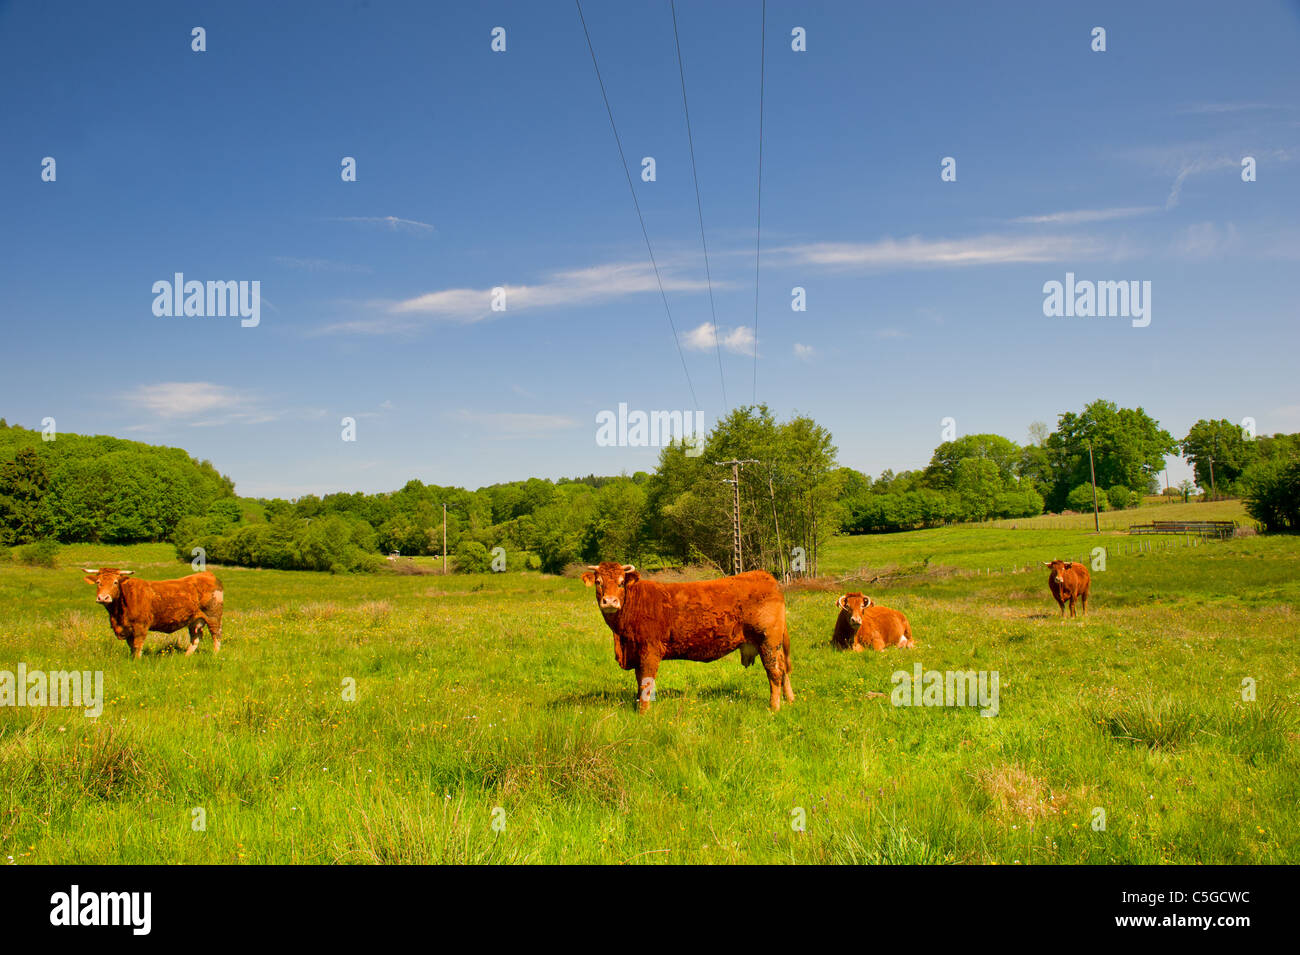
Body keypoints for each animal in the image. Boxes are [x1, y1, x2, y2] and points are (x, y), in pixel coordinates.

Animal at [83, 568, 224, 658]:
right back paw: (186, 656)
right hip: (195, 620)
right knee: (196, 637)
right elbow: (131, 646)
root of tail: (207, 574)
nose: (103, 598)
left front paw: (136, 661)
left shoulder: (140, 626)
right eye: (98, 582)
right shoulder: (127, 628)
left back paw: (215, 654)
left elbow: (137, 645)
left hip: (213, 616)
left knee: (216, 635)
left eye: (115, 582)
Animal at [581, 561, 793, 713]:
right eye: (599, 582)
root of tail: (765, 576)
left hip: (768, 641)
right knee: (783, 668)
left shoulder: (649, 651)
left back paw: (774, 707)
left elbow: (646, 682)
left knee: (774, 671)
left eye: (621, 582)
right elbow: (639, 680)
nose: (610, 601)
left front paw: (643, 712)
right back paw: (790, 700)